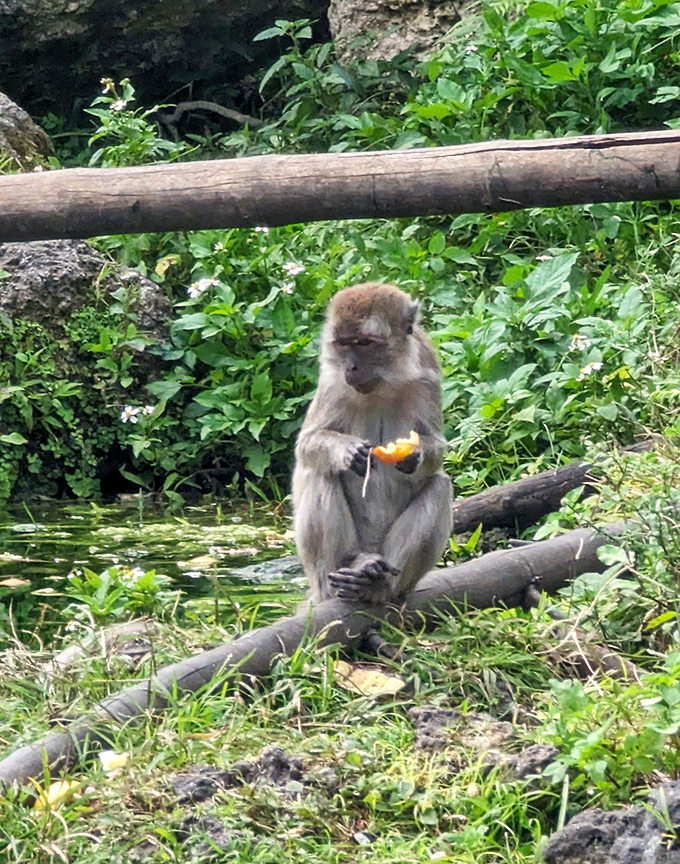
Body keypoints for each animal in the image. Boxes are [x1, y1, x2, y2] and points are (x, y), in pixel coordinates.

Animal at [292, 282, 453, 609]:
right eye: (343, 344)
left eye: (364, 343)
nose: (352, 368)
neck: (384, 383)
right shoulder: (331, 381)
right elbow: (307, 444)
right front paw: (347, 451)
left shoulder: (427, 378)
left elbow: (437, 449)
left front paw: (414, 456)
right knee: (320, 474)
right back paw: (351, 569)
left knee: (440, 486)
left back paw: (376, 584)